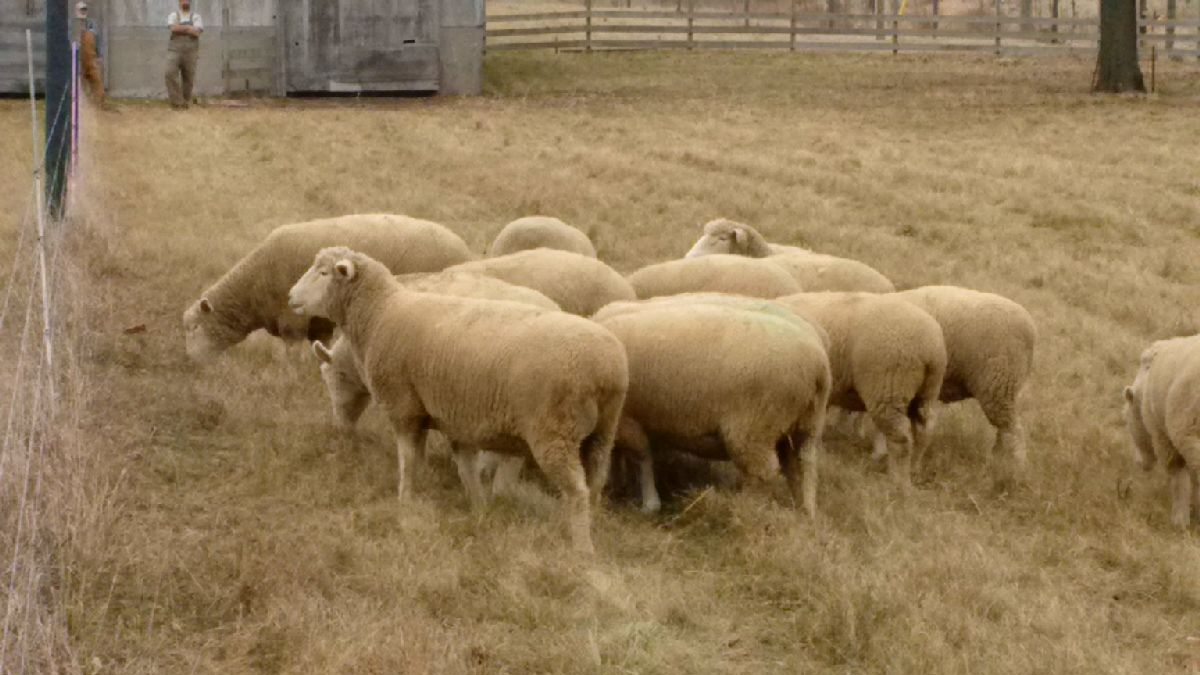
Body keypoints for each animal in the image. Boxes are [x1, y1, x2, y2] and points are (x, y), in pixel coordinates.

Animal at [183, 214, 473, 362]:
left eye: (195, 327)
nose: (189, 361)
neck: (254, 284)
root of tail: (465, 249)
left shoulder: (292, 318)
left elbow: (292, 352)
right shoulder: (318, 320)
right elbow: (320, 344)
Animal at [592, 302, 830, 515]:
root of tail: (819, 365)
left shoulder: (627, 418)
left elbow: (641, 458)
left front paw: (649, 503)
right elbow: (617, 454)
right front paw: (617, 486)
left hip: (755, 427)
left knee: (762, 471)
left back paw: (747, 507)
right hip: (806, 422)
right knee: (804, 463)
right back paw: (805, 509)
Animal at [774, 292, 946, 486]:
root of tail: (931, 348)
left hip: (888, 386)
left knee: (900, 438)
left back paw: (897, 479)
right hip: (927, 390)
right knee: (925, 429)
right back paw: (914, 468)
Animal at [894, 286, 1036, 486]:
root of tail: (1031, 328)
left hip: (999, 384)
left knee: (1013, 432)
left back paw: (1015, 473)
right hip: (1004, 388)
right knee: (1004, 431)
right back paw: (996, 464)